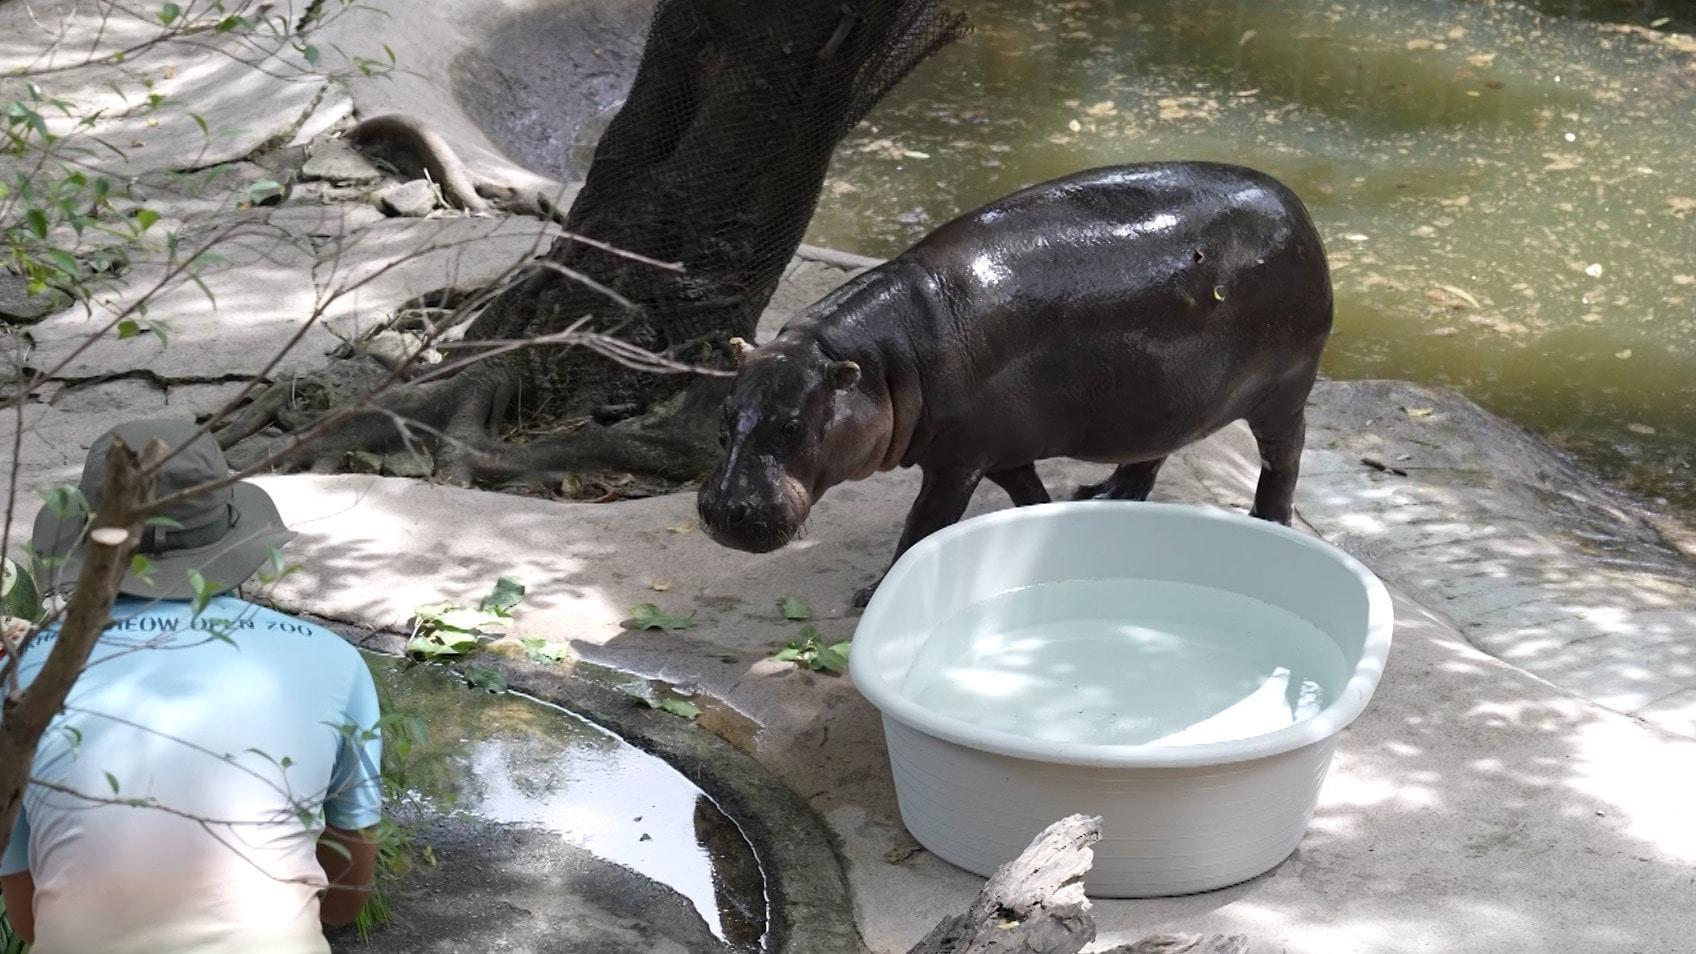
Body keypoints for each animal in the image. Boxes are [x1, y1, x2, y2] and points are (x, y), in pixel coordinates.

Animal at [697, 163, 1333, 607]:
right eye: (724, 420)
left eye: (793, 426)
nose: (726, 510)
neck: (880, 361)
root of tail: (1294, 203)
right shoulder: (1001, 449)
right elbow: (1029, 494)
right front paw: (1049, 520)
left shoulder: (957, 461)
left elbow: (923, 526)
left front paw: (871, 594)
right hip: (1168, 397)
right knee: (1152, 451)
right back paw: (1102, 495)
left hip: (1283, 392)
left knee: (1284, 459)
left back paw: (1267, 520)